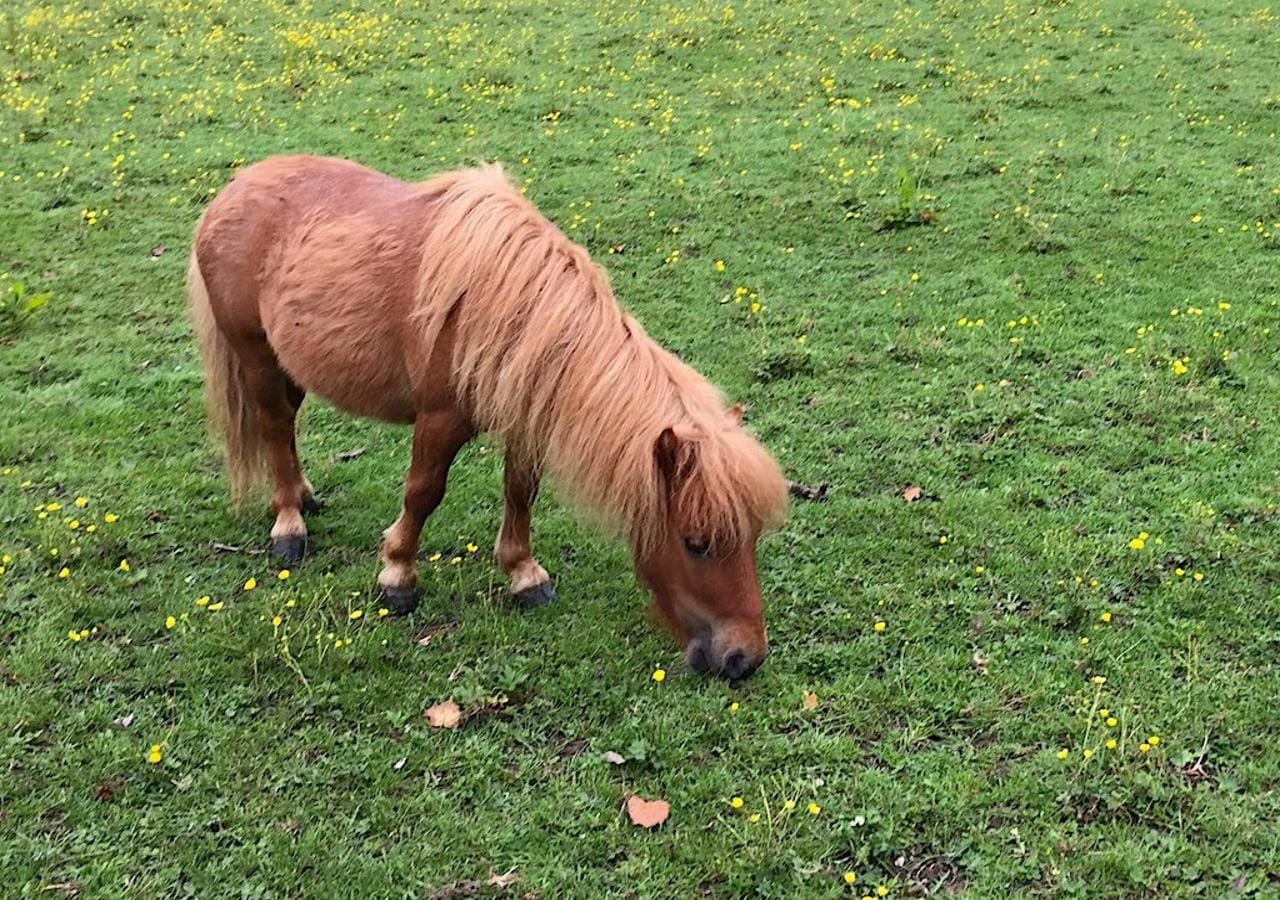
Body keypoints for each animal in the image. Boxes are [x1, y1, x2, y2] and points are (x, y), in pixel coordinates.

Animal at [187, 155, 788, 679]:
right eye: (696, 542)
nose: (744, 659)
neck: (516, 312)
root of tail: (235, 189)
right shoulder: (439, 420)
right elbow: (423, 494)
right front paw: (397, 575)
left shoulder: (526, 419)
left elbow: (520, 492)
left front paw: (524, 575)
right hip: (255, 356)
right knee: (273, 427)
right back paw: (289, 524)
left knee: (286, 426)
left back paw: (305, 495)